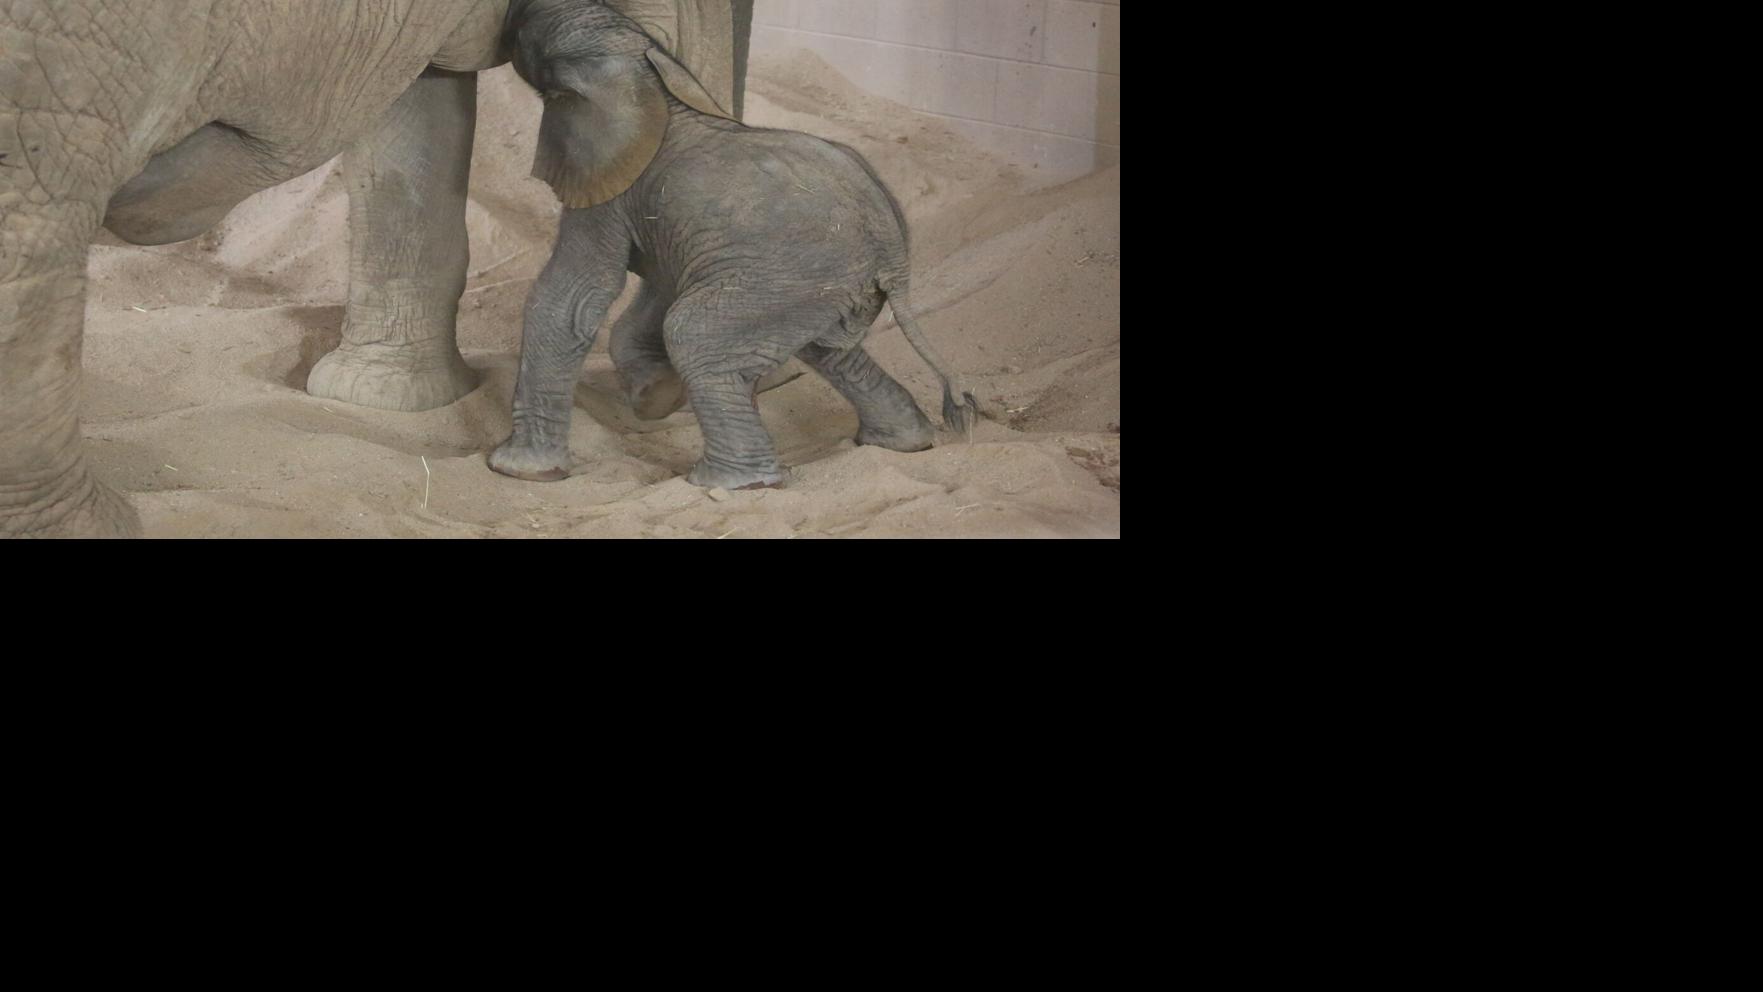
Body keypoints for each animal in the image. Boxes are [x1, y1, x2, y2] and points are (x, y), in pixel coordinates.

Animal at [487, 3, 978, 491]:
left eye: (530, 34)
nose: (512, 13)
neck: (641, 64)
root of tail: (893, 253)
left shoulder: (606, 184)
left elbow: (573, 298)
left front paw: (518, 471)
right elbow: (655, 290)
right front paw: (657, 398)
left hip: (786, 278)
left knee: (692, 332)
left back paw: (729, 484)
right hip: (816, 289)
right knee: (827, 349)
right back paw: (905, 442)